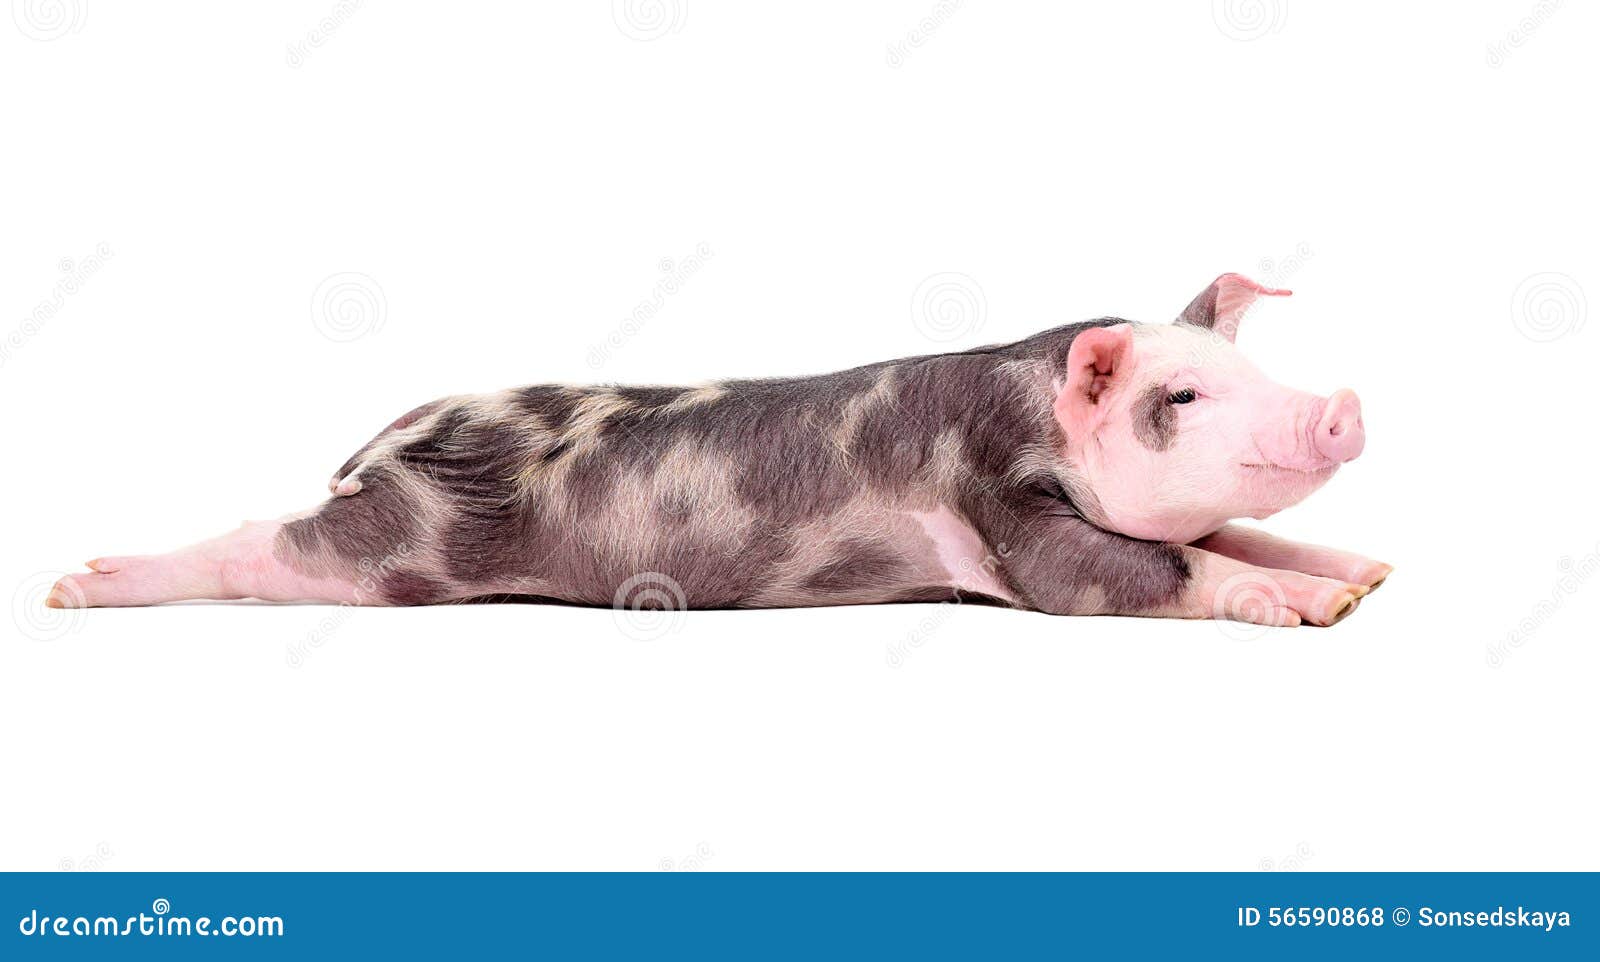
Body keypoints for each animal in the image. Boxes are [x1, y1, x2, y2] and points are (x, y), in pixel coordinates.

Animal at [47, 273, 1389, 627]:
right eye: (1181, 395)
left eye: (1254, 376)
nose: (1339, 404)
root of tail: (402, 429)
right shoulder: (1004, 516)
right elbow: (1153, 567)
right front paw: (1309, 609)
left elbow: (1240, 532)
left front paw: (1361, 578)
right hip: (400, 547)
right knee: (255, 542)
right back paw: (76, 586)